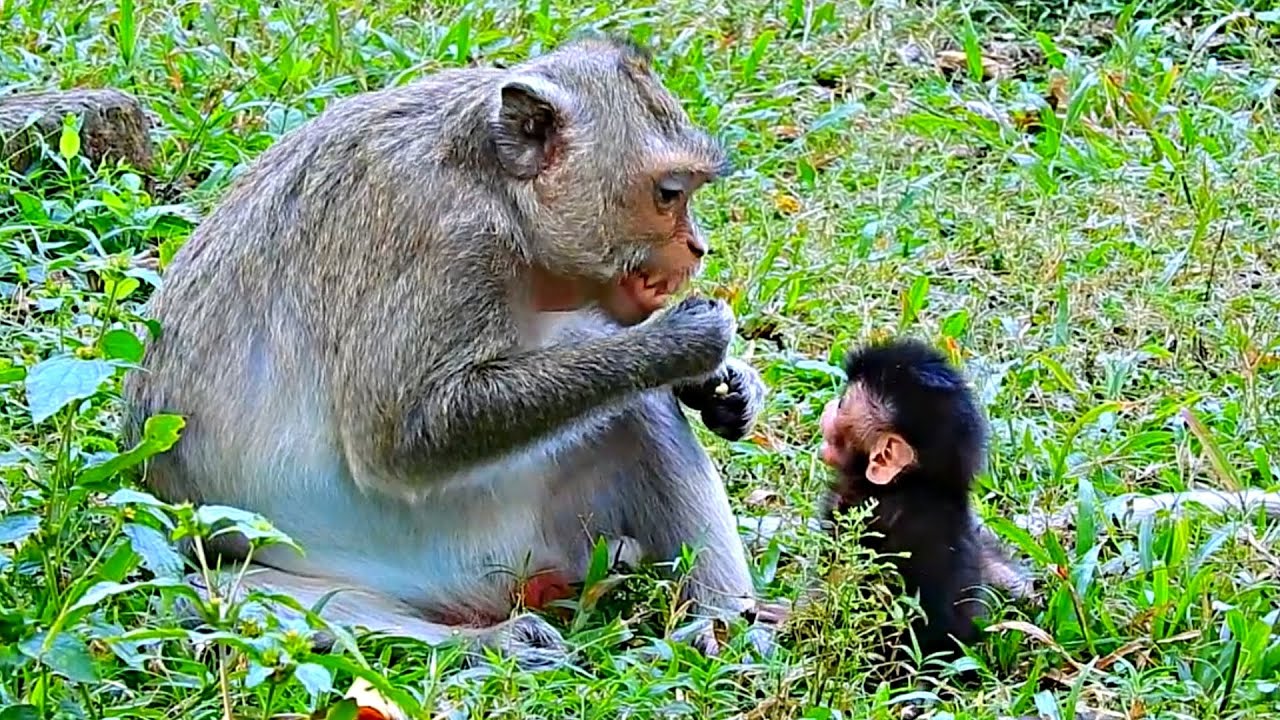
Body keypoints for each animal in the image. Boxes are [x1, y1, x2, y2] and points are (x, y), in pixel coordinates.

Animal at [121, 34, 776, 670]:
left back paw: (721, 622)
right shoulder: (444, 241)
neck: (498, 190)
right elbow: (402, 437)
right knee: (223, 598)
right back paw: (494, 642)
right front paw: (682, 345)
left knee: (632, 413)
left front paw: (725, 383)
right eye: (669, 194)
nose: (698, 247)